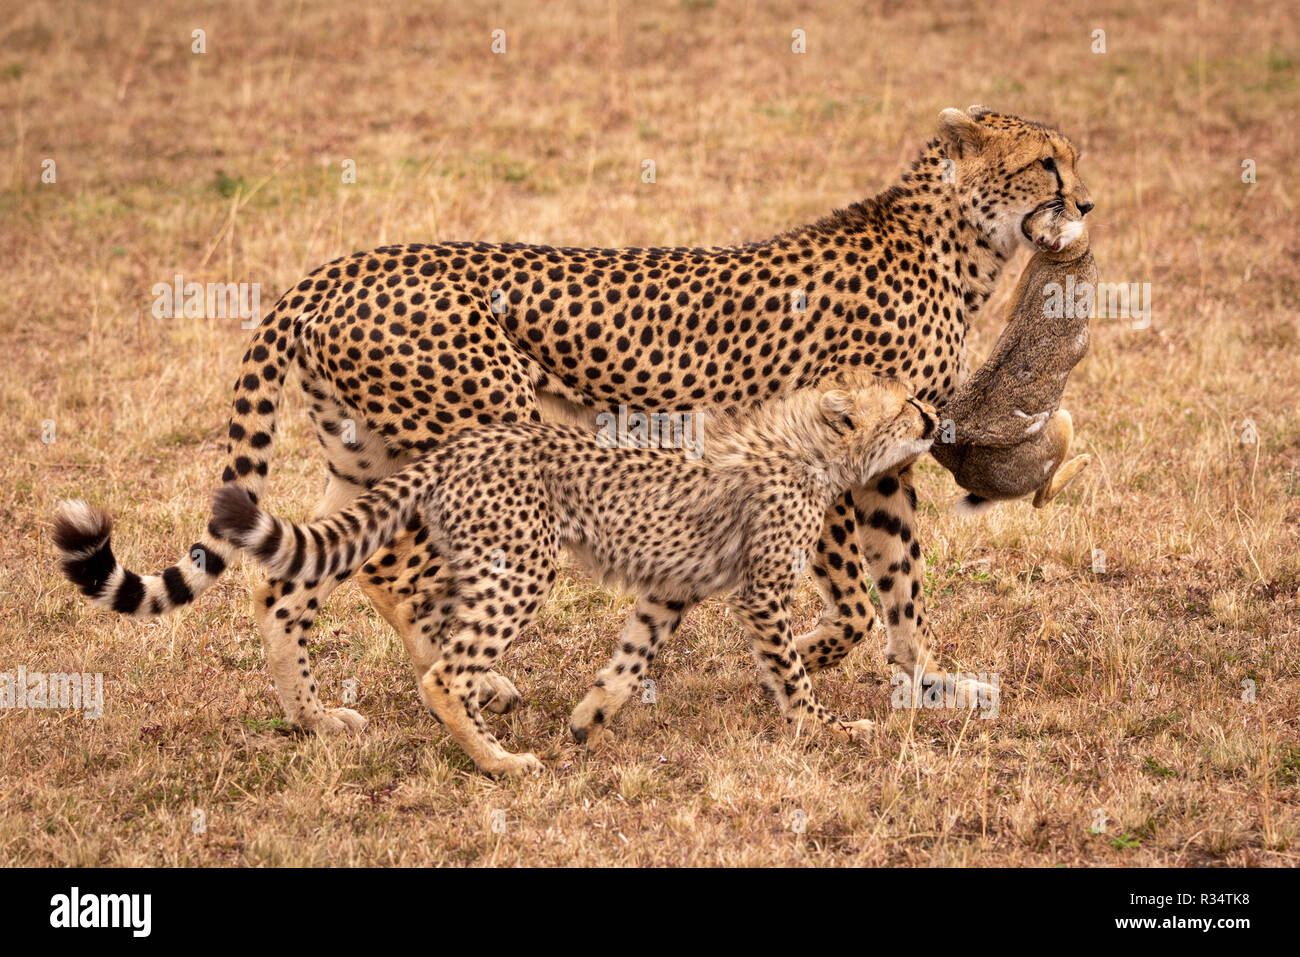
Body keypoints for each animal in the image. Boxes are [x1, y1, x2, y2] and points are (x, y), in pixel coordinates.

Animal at [198, 375, 939, 774]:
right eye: (904, 404)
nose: (933, 416)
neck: (809, 447)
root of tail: (465, 442)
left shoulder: (670, 587)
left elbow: (633, 654)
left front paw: (591, 716)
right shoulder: (761, 593)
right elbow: (793, 671)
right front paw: (826, 727)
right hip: (522, 563)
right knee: (441, 665)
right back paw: (497, 759)